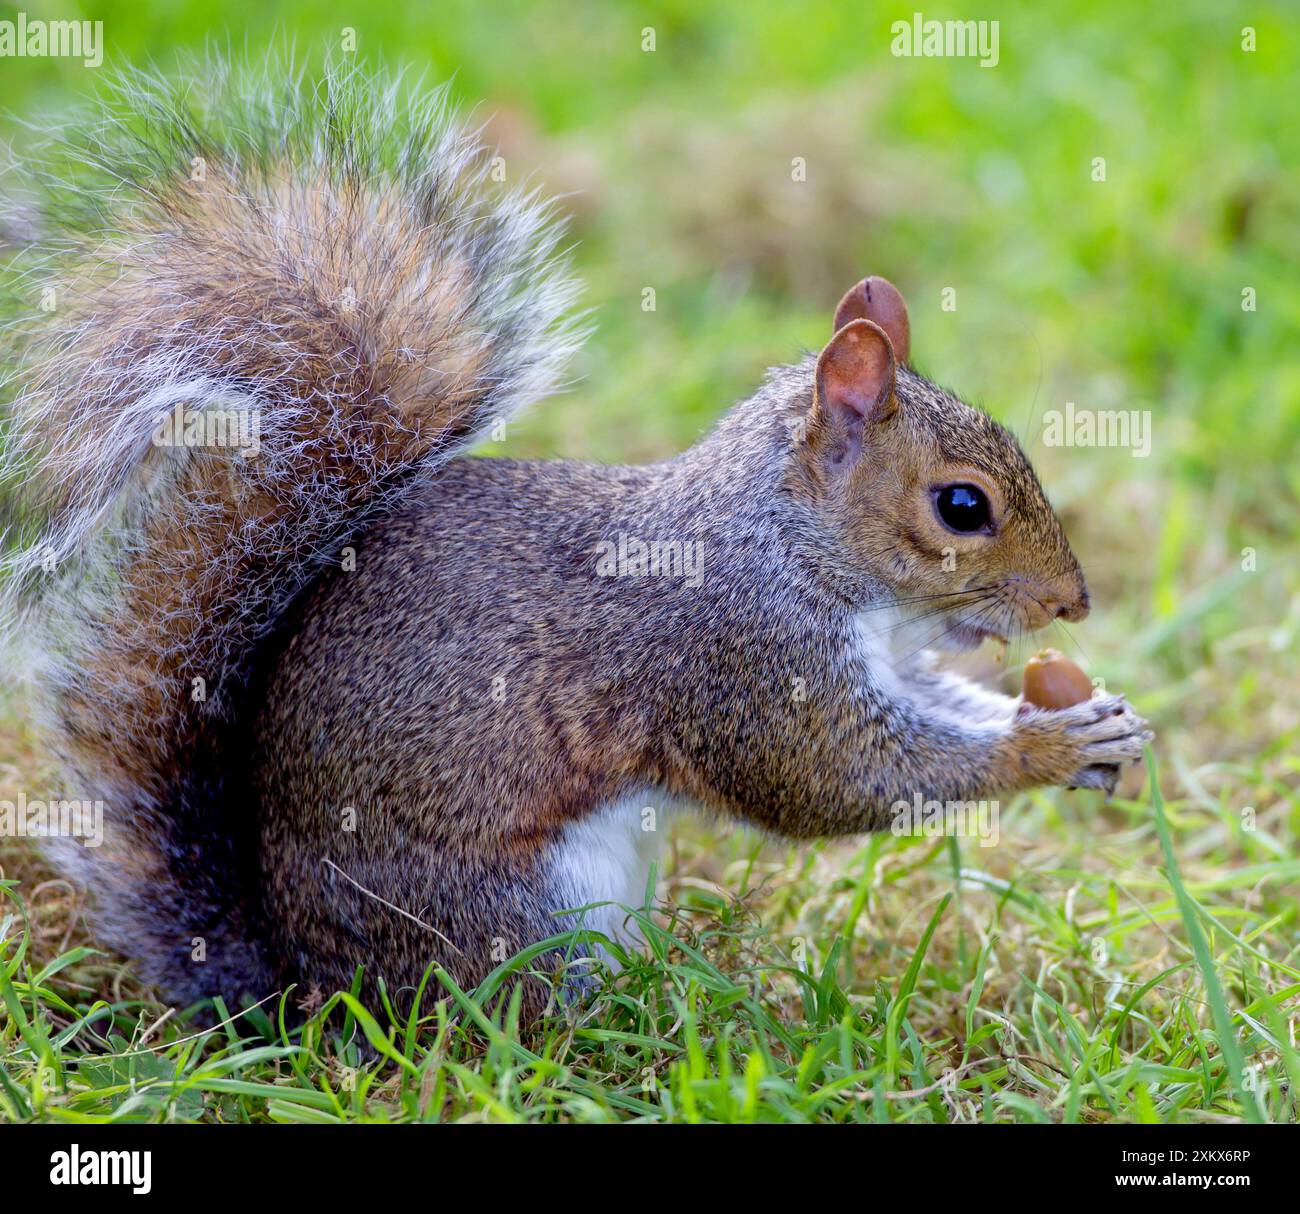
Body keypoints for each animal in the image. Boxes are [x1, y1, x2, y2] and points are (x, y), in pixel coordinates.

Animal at [1, 61, 1151, 1021]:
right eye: (961, 507)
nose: (1073, 603)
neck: (788, 540)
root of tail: (307, 992)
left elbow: (940, 707)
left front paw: (1098, 721)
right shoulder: (742, 659)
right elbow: (835, 775)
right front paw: (1046, 746)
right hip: (519, 915)